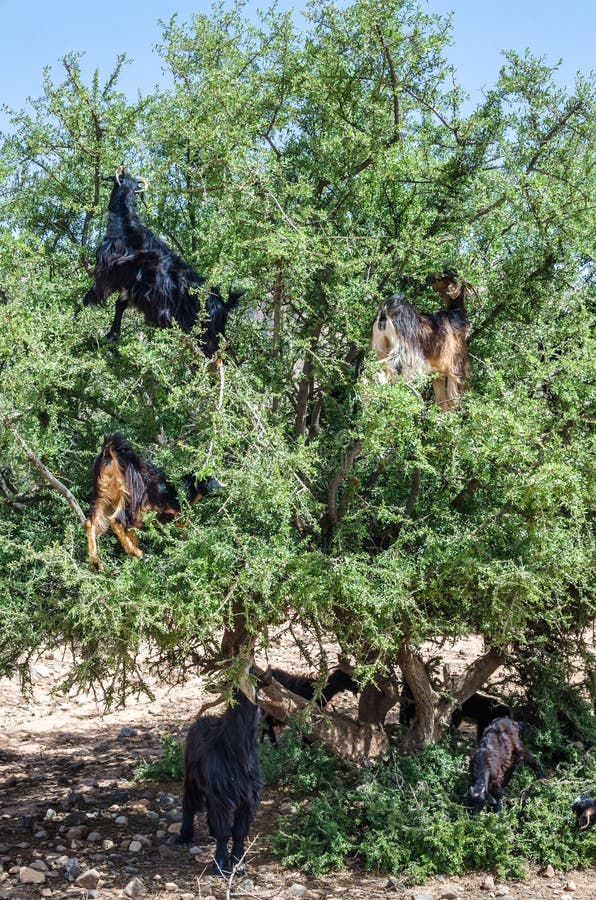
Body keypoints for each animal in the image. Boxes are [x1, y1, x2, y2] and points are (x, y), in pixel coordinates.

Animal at [81, 167, 243, 353]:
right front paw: (112, 335)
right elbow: (119, 306)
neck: (125, 225)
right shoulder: (128, 284)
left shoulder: (107, 274)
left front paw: (74, 319)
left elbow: (88, 298)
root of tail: (223, 305)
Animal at [85, 432, 218, 570]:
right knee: (116, 520)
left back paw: (95, 561)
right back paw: (135, 551)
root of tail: (109, 453)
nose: (220, 488)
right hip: (131, 494)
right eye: (210, 479)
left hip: (103, 495)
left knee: (91, 522)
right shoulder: (170, 512)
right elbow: (182, 525)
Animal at [177, 665, 265, 875]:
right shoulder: (221, 794)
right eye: (231, 686)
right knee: (189, 804)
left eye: (258, 683)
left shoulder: (248, 798)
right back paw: (185, 837)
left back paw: (210, 833)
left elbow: (239, 832)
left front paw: (238, 865)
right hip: (191, 778)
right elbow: (225, 832)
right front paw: (220, 865)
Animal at [371, 268, 469, 410]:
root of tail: (384, 313)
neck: (455, 318)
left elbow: (441, 400)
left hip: (380, 348)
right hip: (405, 353)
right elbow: (452, 398)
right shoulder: (455, 366)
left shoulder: (437, 372)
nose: (431, 278)